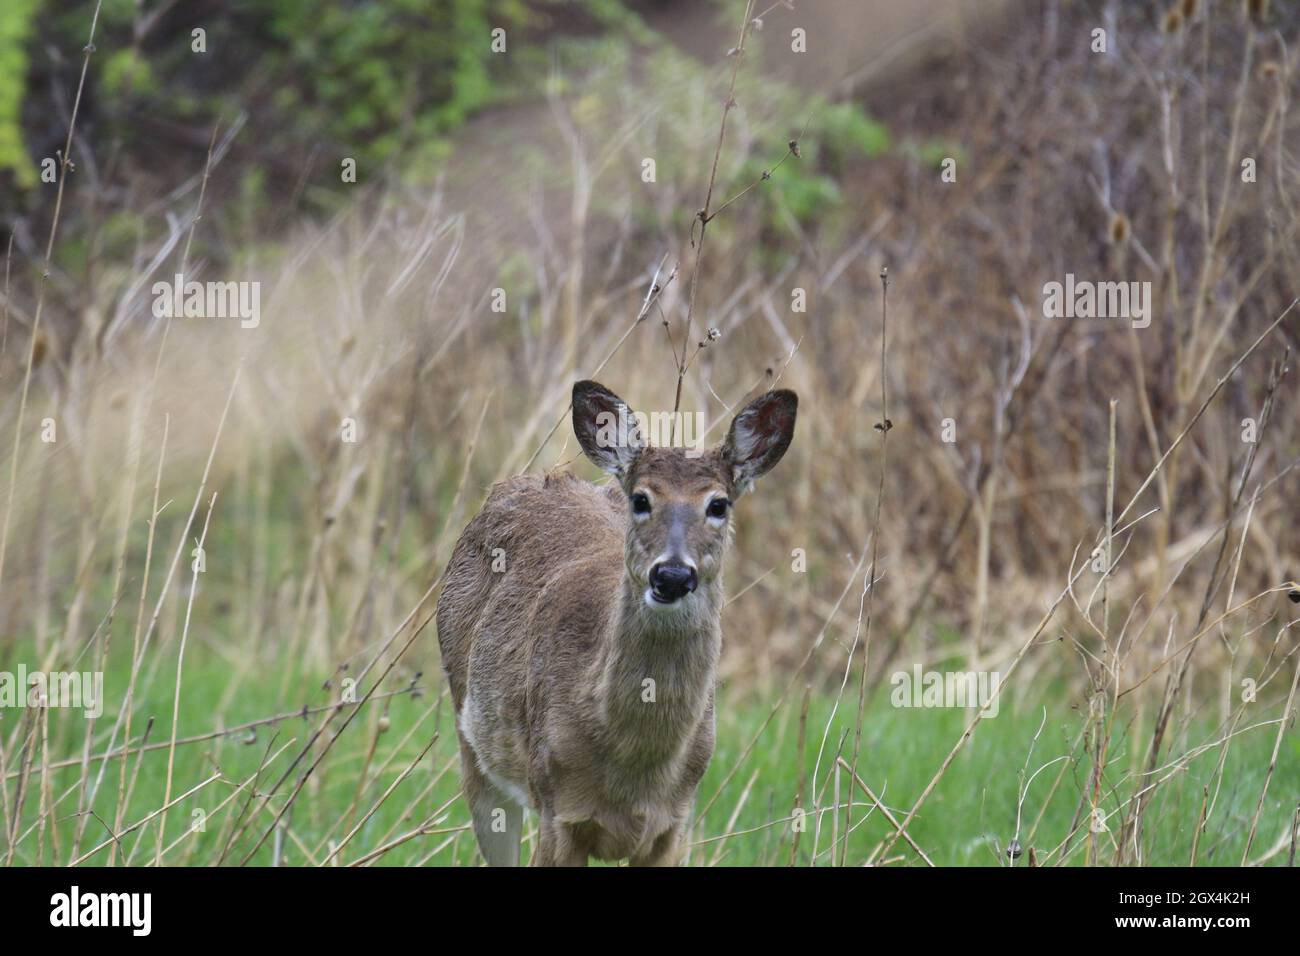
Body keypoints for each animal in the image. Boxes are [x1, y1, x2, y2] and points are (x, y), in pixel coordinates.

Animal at [435, 380, 797, 866]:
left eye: (718, 505)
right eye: (641, 499)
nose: (672, 575)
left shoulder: (673, 823)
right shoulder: (557, 808)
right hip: (475, 747)